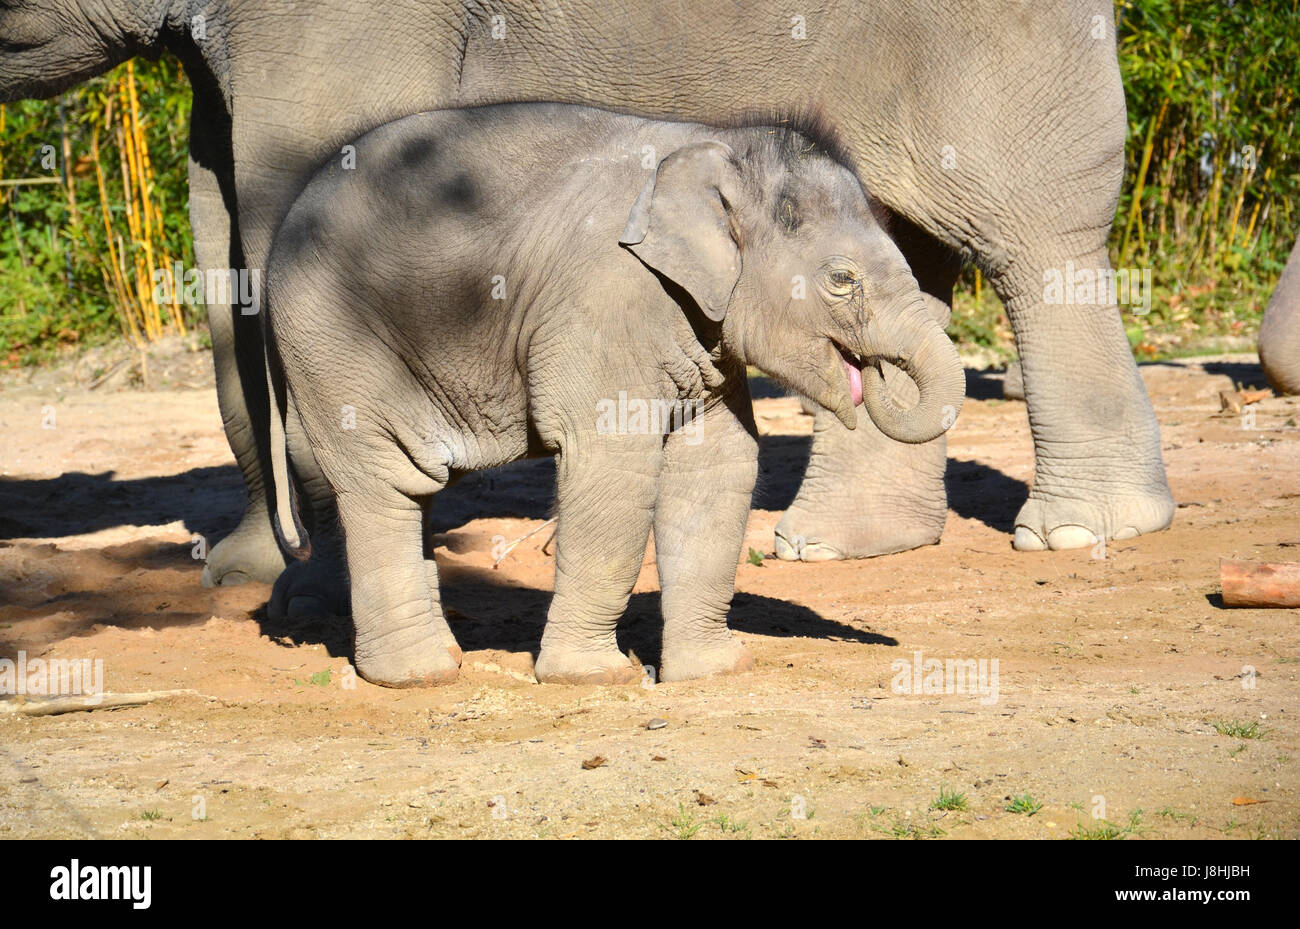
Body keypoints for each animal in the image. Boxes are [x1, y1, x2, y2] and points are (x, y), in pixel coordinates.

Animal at [0, 0, 1175, 599]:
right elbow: (216, 233)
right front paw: (245, 570)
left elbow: (312, 156)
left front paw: (321, 570)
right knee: (909, 239)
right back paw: (829, 546)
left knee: (1031, 233)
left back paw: (1080, 530)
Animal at [264, 104, 965, 686]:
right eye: (841, 280)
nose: (873, 371)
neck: (720, 146)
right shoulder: (604, 305)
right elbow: (615, 469)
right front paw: (595, 678)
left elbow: (718, 468)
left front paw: (715, 670)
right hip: (332, 344)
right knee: (383, 482)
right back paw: (420, 677)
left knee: (408, 489)